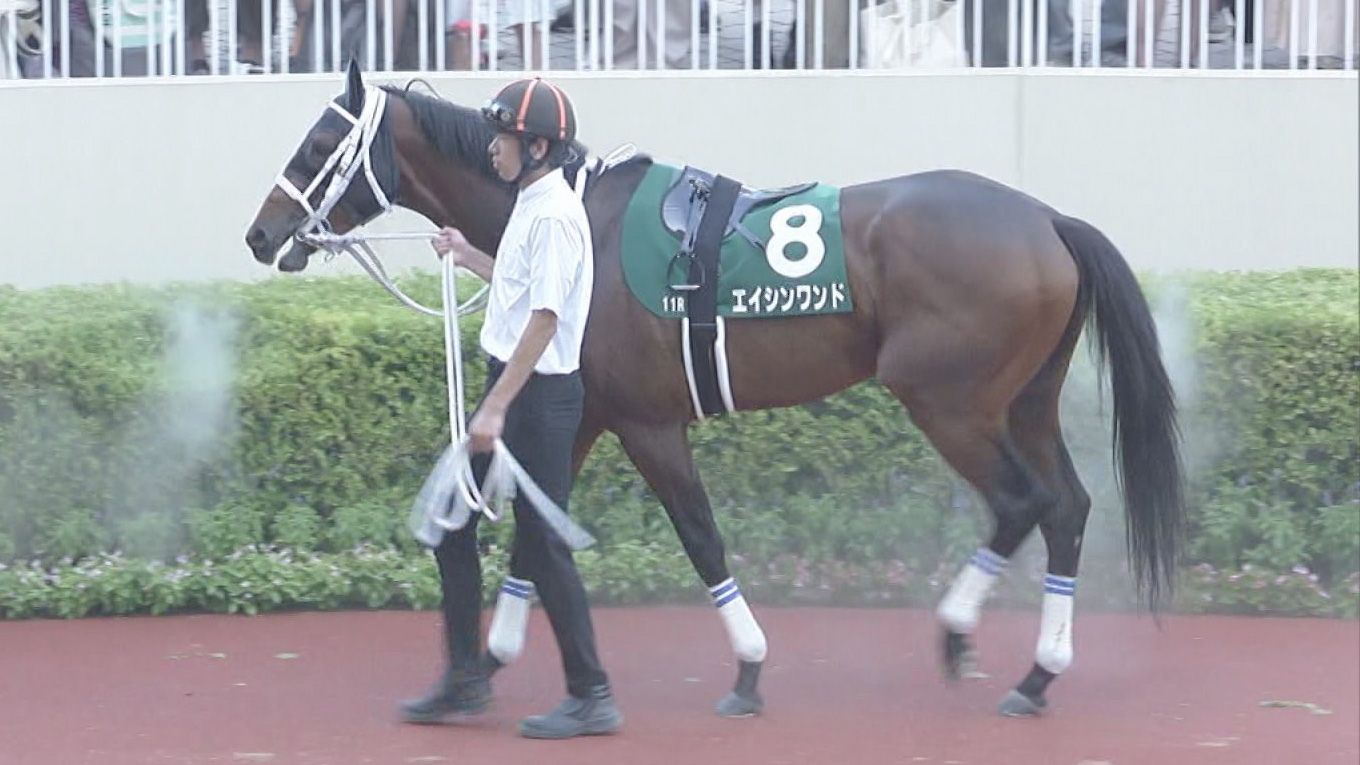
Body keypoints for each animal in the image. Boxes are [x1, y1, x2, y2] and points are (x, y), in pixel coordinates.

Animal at [244, 62, 1185, 719]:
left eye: (319, 146)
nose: (261, 233)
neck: (571, 214)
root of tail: (1047, 220)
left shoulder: (648, 422)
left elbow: (698, 536)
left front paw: (747, 663)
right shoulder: (579, 412)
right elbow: (534, 531)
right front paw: (502, 649)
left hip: (947, 401)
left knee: (1023, 501)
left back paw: (960, 632)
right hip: (1024, 400)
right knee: (1066, 507)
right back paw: (1037, 672)